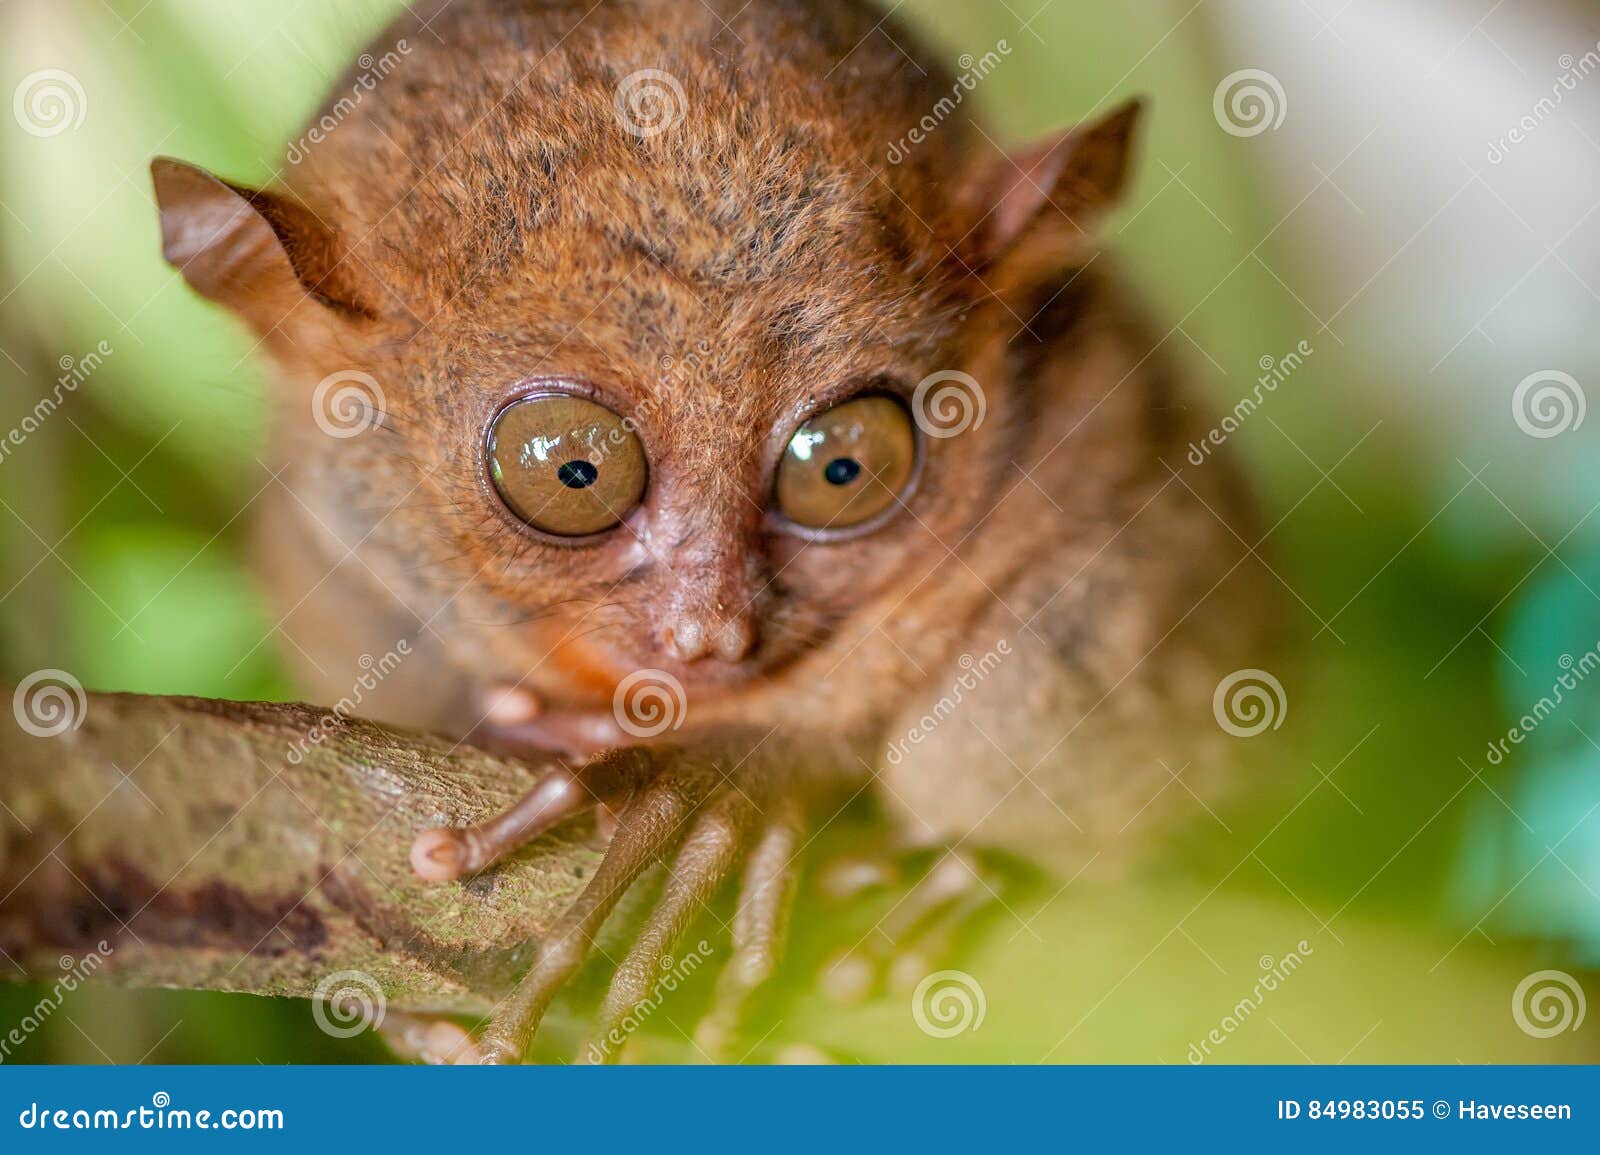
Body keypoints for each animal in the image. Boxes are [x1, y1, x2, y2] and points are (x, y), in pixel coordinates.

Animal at [150, 0, 1274, 1063]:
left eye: (842, 467)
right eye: (572, 469)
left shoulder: (1103, 407)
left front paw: (716, 791)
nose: (712, 634)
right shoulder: (324, 548)